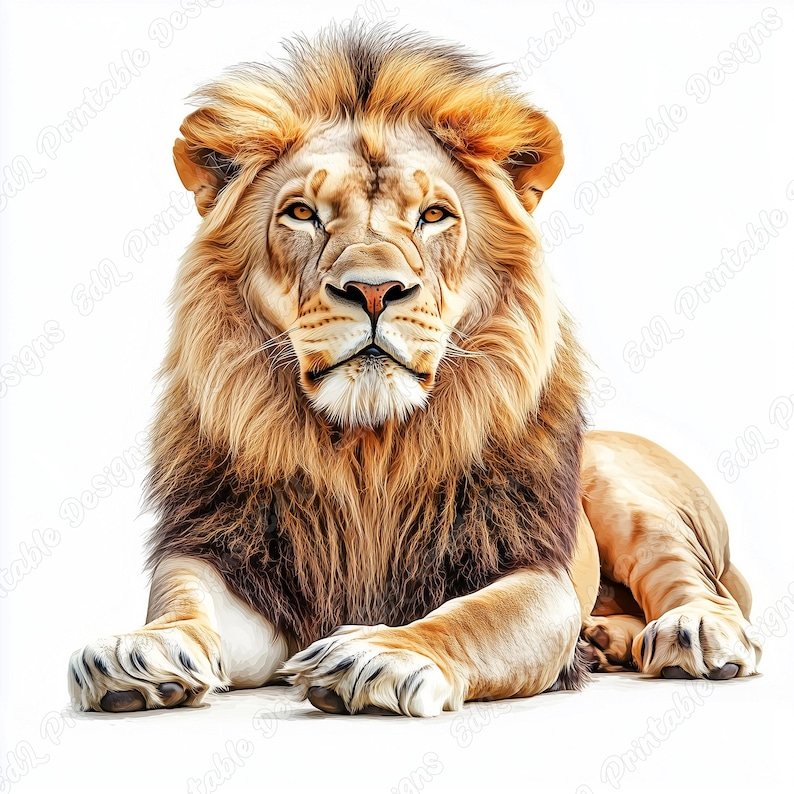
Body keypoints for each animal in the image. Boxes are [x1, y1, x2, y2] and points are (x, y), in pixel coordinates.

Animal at [68, 25, 761, 717]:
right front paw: (141, 650)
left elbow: (469, 616)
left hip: (627, 490)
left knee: (698, 587)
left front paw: (381, 652)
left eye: (433, 215)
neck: (368, 452)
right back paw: (604, 640)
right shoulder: (237, 561)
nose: (374, 290)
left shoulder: (535, 574)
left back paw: (694, 631)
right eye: (302, 213)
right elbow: (183, 598)